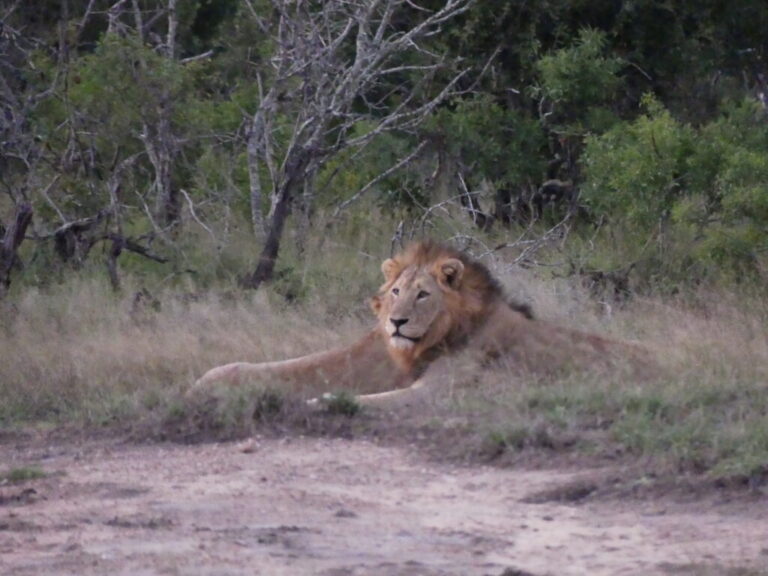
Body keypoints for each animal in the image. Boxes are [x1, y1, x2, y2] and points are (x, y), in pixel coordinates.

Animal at [191, 241, 652, 406]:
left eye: (424, 294)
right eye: (397, 291)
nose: (397, 322)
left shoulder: (440, 390)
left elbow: (357, 398)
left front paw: (319, 402)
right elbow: (298, 368)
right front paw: (209, 381)